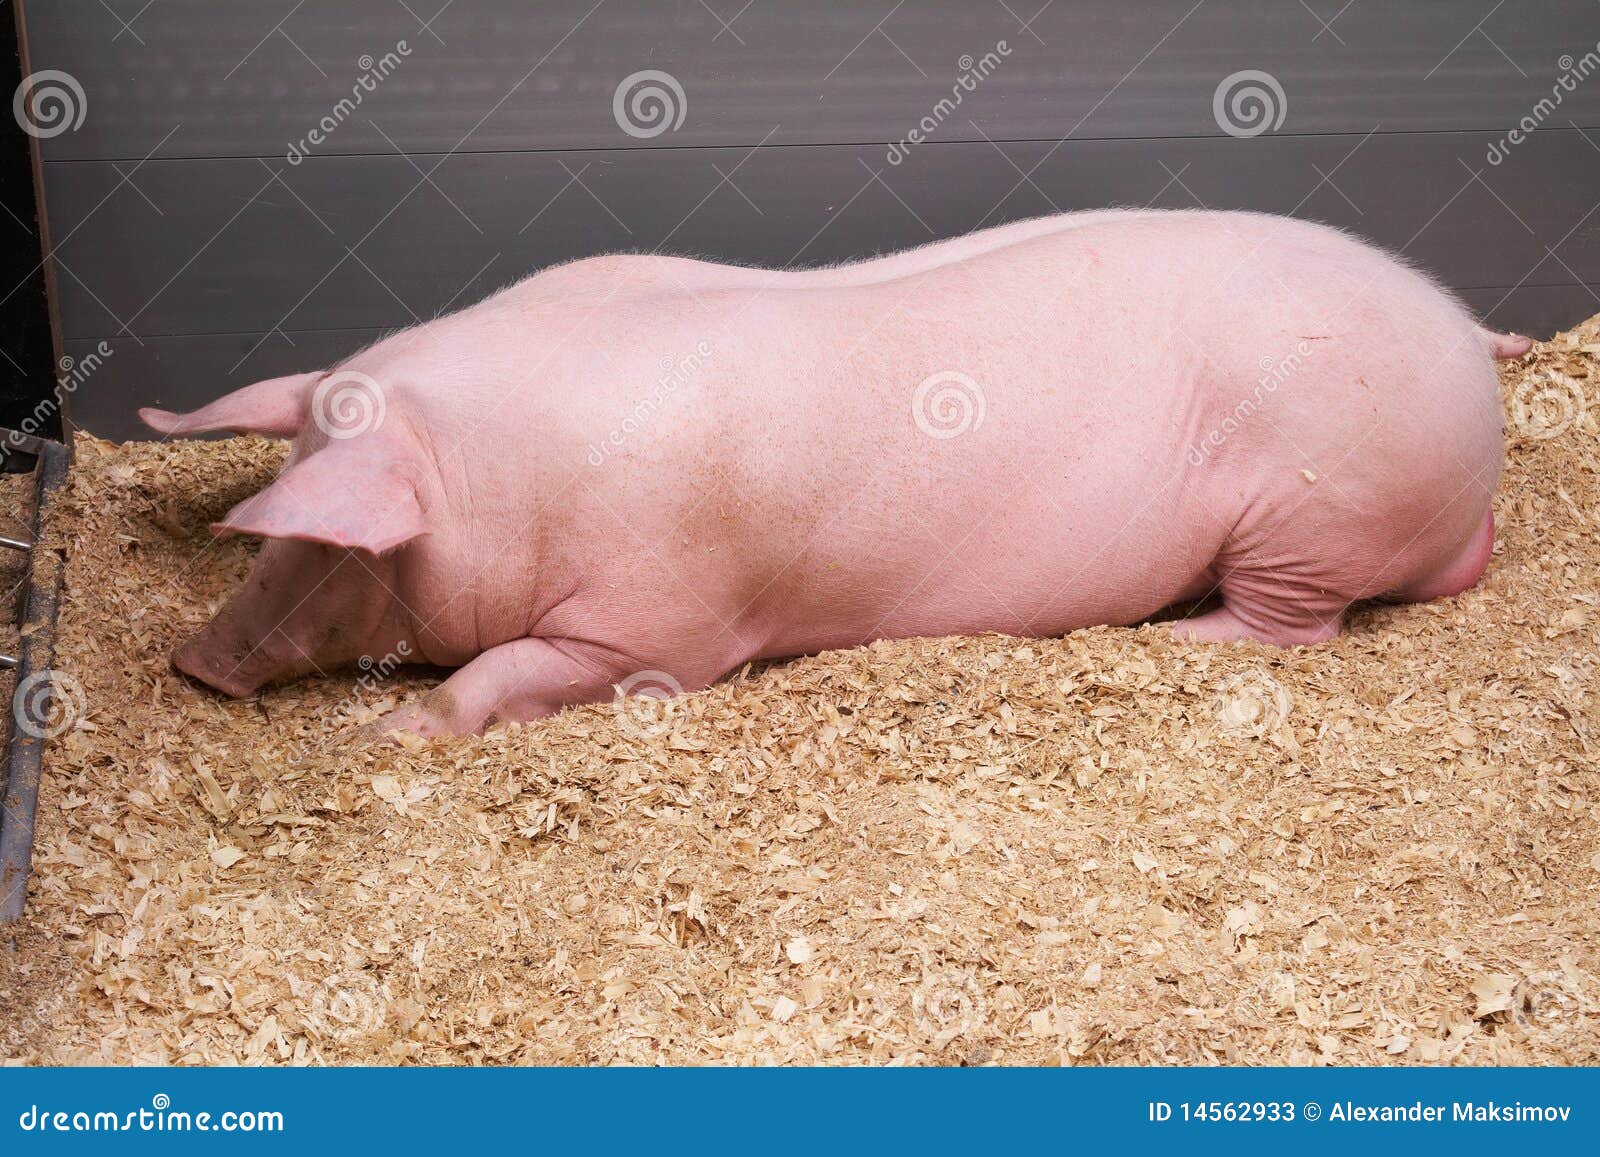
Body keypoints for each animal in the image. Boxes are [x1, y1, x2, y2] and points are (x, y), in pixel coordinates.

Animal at [141, 209, 1528, 736]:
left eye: (331, 549)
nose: (191, 664)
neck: (504, 488)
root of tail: (1470, 343)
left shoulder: (664, 627)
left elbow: (503, 672)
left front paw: (397, 728)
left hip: (1314, 507)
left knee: (1293, 628)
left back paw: (1177, 635)